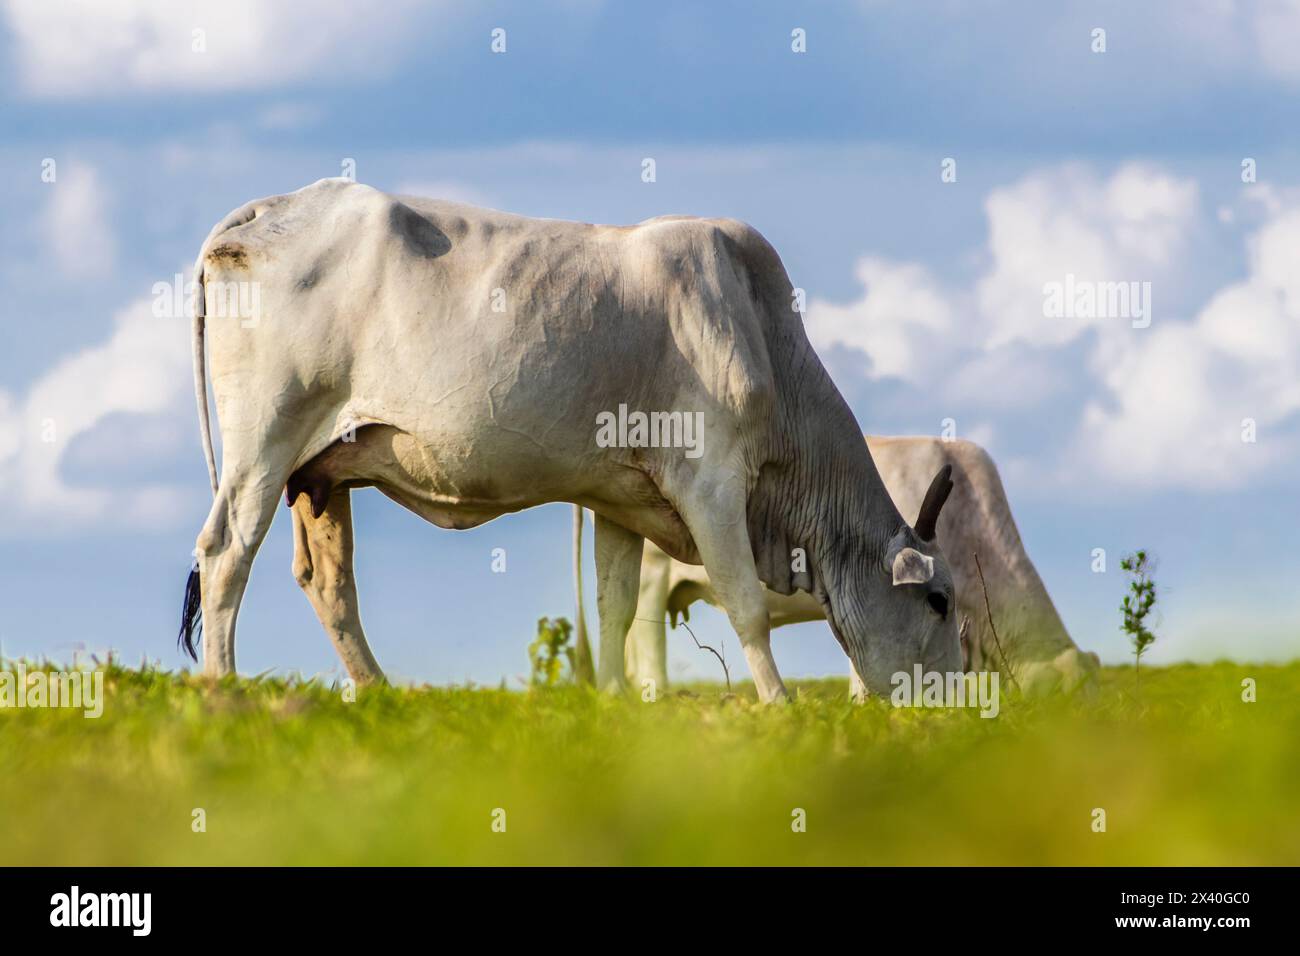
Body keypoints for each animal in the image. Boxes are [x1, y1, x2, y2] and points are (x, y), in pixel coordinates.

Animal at [178, 178, 961, 702]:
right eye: (939, 601)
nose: (963, 702)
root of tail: (271, 207)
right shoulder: (711, 485)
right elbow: (746, 606)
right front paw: (777, 704)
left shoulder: (620, 499)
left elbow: (614, 611)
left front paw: (614, 705)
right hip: (263, 441)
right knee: (225, 554)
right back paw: (225, 689)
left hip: (321, 472)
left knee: (329, 584)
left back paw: (380, 692)